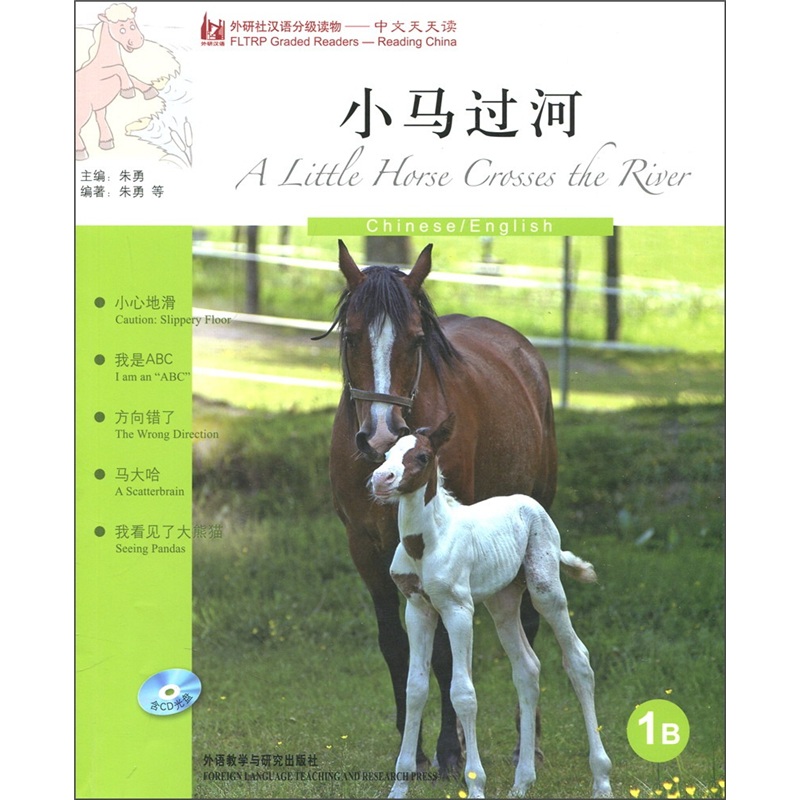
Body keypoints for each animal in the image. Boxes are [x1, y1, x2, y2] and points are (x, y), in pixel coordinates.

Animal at [75, 3, 160, 161]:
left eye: (133, 24)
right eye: (121, 29)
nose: (137, 41)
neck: (104, 62)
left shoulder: (100, 105)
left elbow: (131, 77)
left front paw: (148, 90)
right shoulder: (104, 76)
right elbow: (120, 69)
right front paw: (127, 91)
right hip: (83, 111)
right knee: (77, 129)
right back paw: (80, 152)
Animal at [324, 241, 559, 776]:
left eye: (415, 340)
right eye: (351, 337)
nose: (381, 436)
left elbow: (448, 655)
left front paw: (452, 751)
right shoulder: (366, 550)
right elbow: (395, 646)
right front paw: (412, 750)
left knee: (531, 626)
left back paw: (530, 743)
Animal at [370, 415, 612, 799]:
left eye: (422, 456)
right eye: (386, 453)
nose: (381, 480)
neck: (427, 543)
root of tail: (532, 505)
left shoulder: (458, 610)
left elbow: (463, 693)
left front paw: (475, 784)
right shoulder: (417, 609)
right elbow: (415, 689)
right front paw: (400, 785)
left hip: (545, 590)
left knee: (578, 660)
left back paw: (601, 780)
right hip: (504, 602)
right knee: (527, 668)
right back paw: (522, 782)